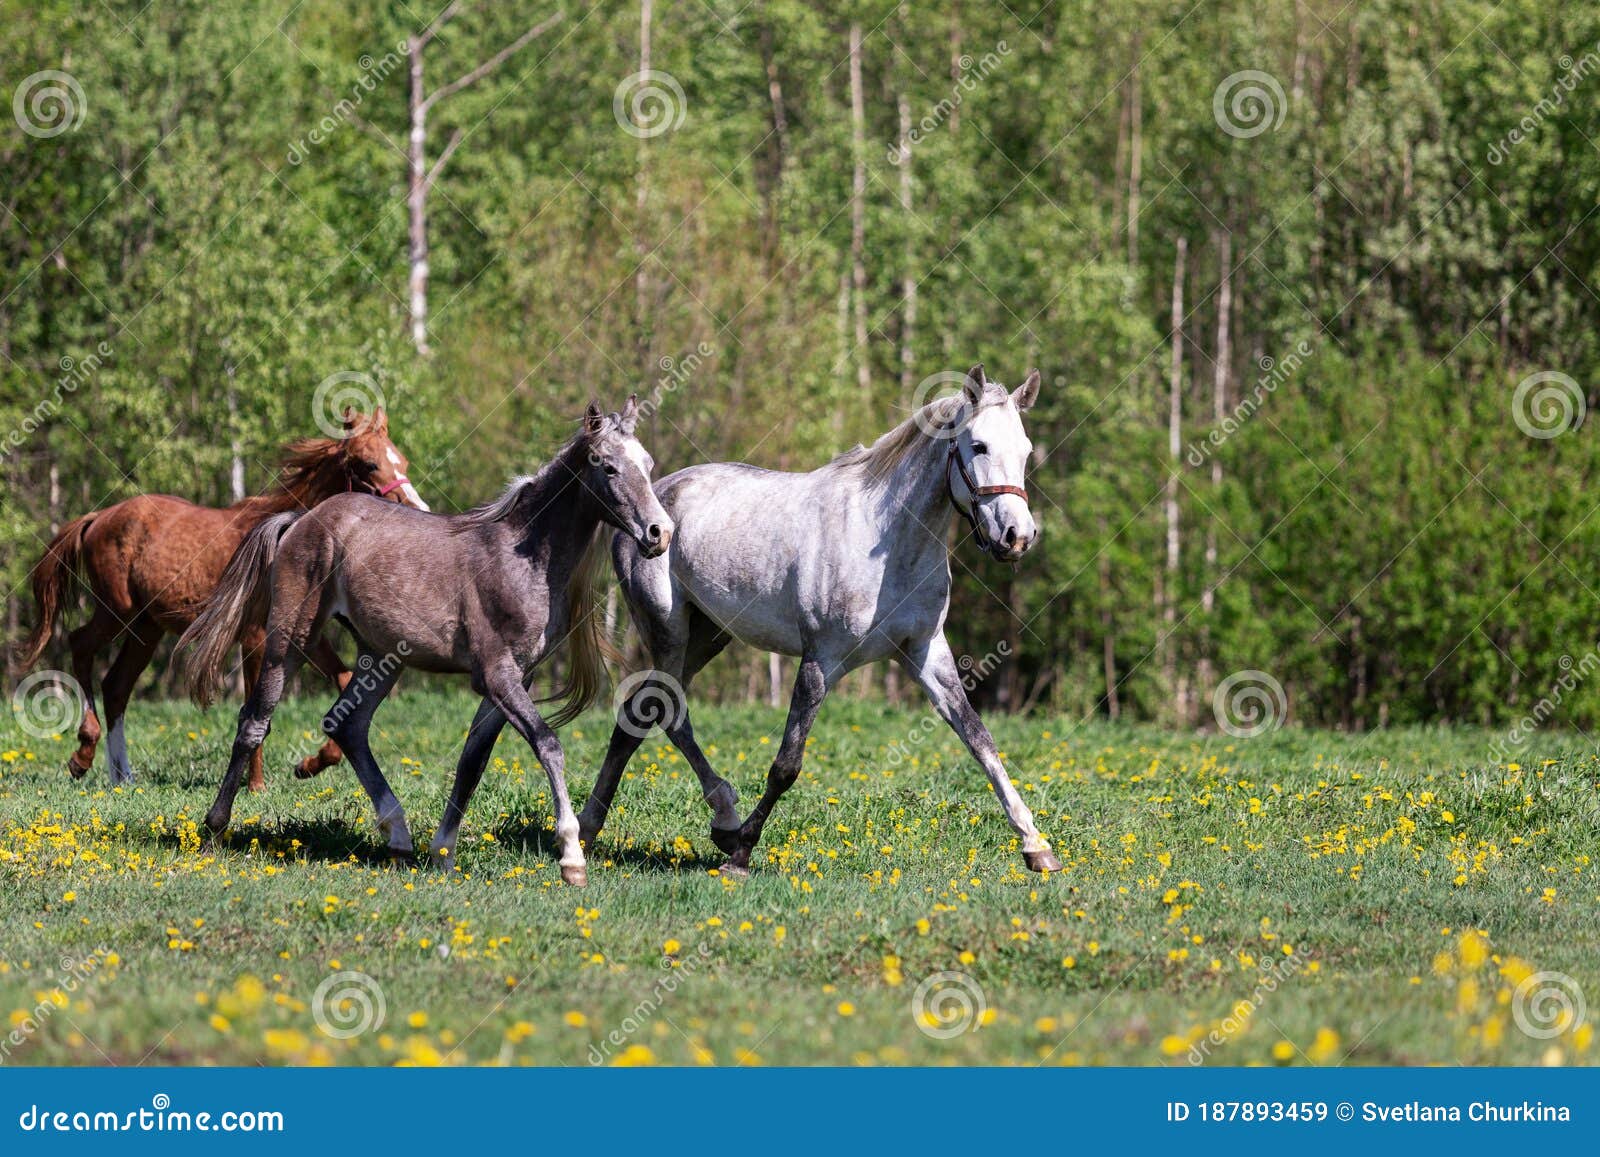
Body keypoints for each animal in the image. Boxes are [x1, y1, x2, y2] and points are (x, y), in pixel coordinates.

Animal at [14, 408, 428, 789]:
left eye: (402, 460)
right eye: (369, 463)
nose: (419, 510)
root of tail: (98, 517)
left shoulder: (302, 634)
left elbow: (341, 681)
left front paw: (310, 765)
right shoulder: (256, 637)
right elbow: (257, 709)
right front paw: (256, 786)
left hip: (146, 630)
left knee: (116, 687)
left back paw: (123, 776)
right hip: (117, 612)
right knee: (80, 645)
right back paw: (83, 755)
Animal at [179, 398, 671, 886]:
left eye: (648, 464)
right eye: (607, 466)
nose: (659, 533)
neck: (521, 558)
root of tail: (302, 519)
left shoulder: (515, 679)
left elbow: (473, 760)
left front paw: (442, 852)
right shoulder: (496, 674)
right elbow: (547, 743)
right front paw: (571, 857)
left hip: (380, 655)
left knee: (348, 725)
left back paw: (398, 836)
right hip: (290, 642)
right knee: (254, 722)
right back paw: (215, 827)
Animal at [575, 365, 1064, 876]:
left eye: (1025, 449)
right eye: (979, 446)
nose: (1017, 536)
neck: (888, 542)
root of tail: (646, 511)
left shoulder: (926, 653)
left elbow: (980, 739)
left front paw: (1036, 846)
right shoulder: (819, 661)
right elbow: (786, 764)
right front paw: (743, 853)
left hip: (708, 636)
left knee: (644, 710)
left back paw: (609, 826)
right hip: (669, 630)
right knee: (664, 711)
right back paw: (706, 822)